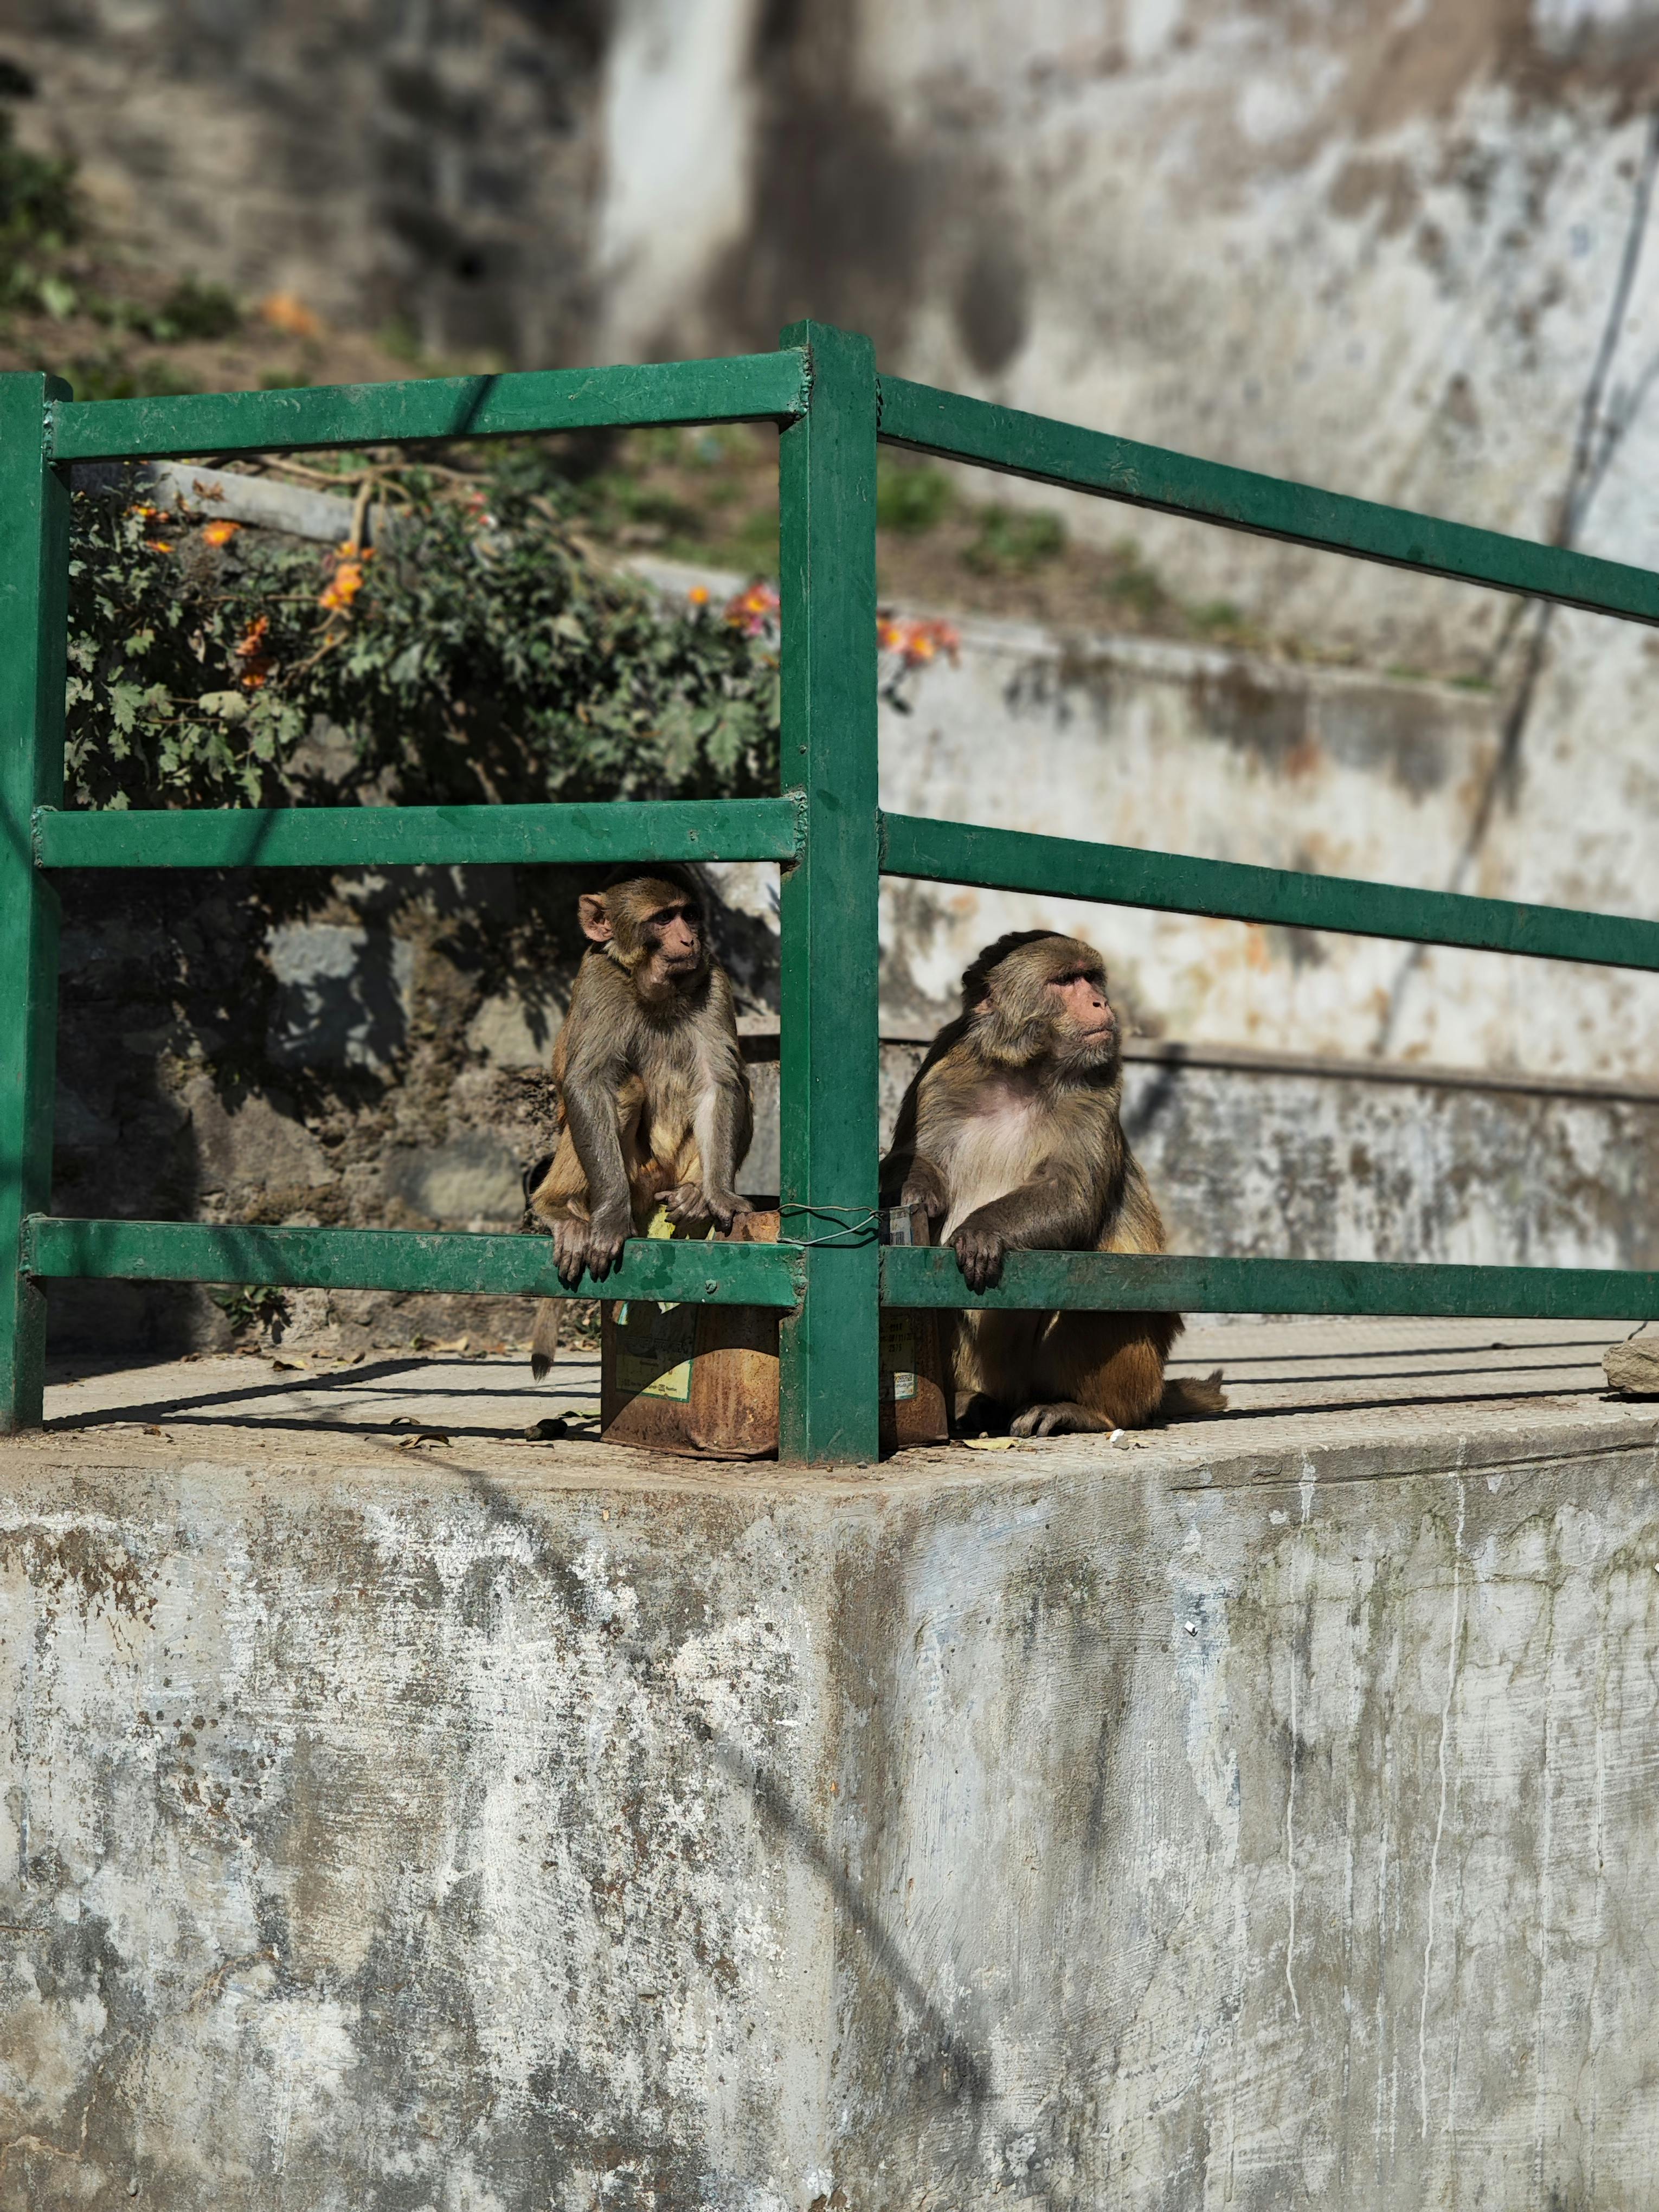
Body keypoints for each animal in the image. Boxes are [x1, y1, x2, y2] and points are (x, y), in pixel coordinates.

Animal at [524, 865, 753, 1379]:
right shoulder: (599, 979)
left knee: (740, 1085)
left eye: (689, 914)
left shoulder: (714, 980)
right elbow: (588, 1083)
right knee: (622, 1087)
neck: (654, 989)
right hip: (633, 1172)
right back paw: (558, 1205)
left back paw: (693, 1193)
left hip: (670, 1170)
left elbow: (719, 1084)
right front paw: (610, 1217)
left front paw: (717, 1193)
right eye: (663, 919)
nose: (690, 939)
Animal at [880, 929, 1224, 1437]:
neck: (1024, 1073)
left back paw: (1084, 1411)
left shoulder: (1098, 1088)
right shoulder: (939, 1073)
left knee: (1090, 1282)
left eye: (1091, 978)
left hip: (1129, 1373)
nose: (1102, 1002)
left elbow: (1071, 1197)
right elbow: (906, 1159)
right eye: (1065, 981)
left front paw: (981, 1230)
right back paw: (969, 1402)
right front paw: (916, 1192)